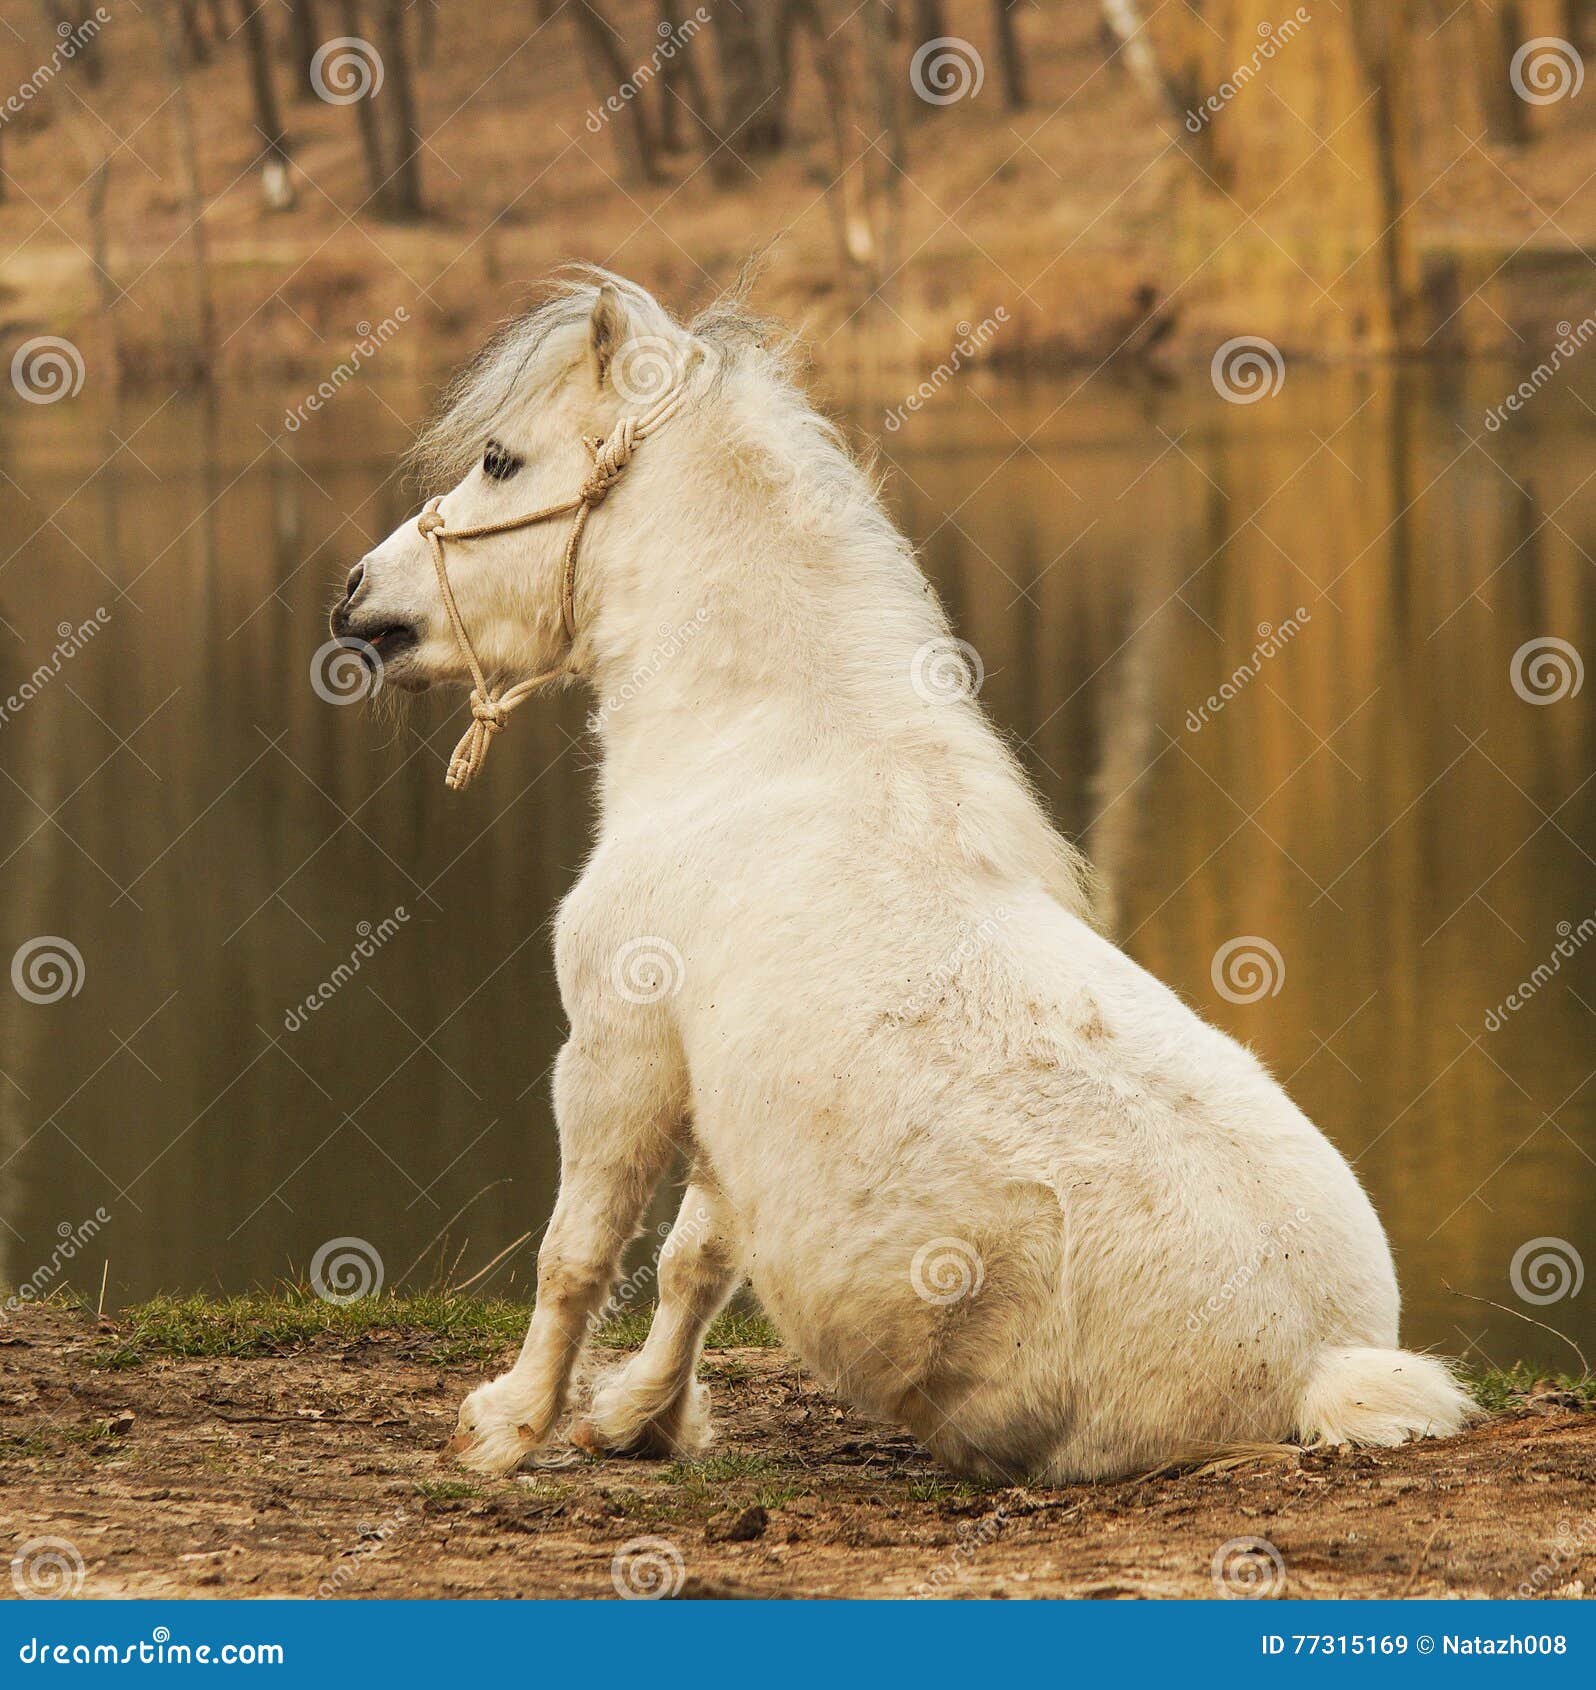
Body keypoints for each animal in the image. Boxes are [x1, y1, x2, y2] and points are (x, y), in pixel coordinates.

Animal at [330, 270, 1473, 1482]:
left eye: (500, 460)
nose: (357, 596)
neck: (755, 753)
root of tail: (1322, 1361)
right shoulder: (727, 1105)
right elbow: (697, 1266)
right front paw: (642, 1417)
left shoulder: (616, 1055)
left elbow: (577, 1253)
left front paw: (511, 1424)